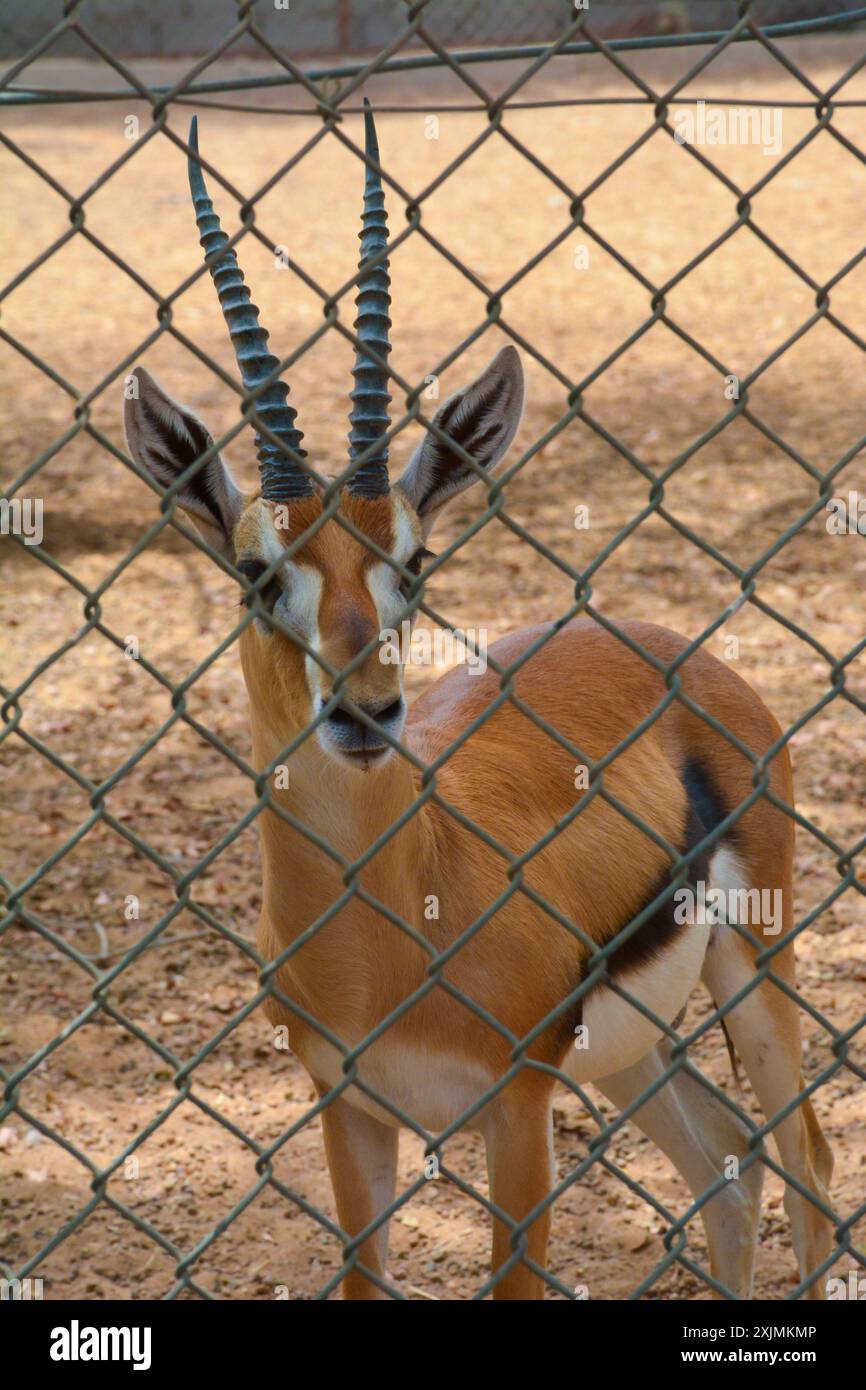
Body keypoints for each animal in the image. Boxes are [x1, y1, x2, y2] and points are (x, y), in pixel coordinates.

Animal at [121, 104, 834, 1300]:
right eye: (256, 571)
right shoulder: (350, 1110)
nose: (366, 713)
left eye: (412, 559)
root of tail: (680, 655)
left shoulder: (516, 1107)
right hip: (631, 1057)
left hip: (753, 971)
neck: (394, 928)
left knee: (806, 1167)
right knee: (728, 1167)